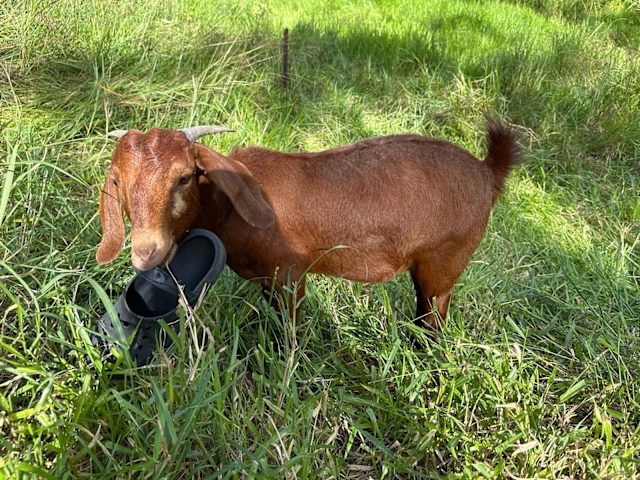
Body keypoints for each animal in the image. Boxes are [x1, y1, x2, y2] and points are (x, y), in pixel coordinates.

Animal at [97, 120, 520, 330]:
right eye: (118, 182)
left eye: (185, 176)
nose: (146, 253)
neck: (228, 204)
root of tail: (487, 172)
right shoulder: (267, 279)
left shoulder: (291, 272)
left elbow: (291, 330)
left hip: (443, 262)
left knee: (434, 318)